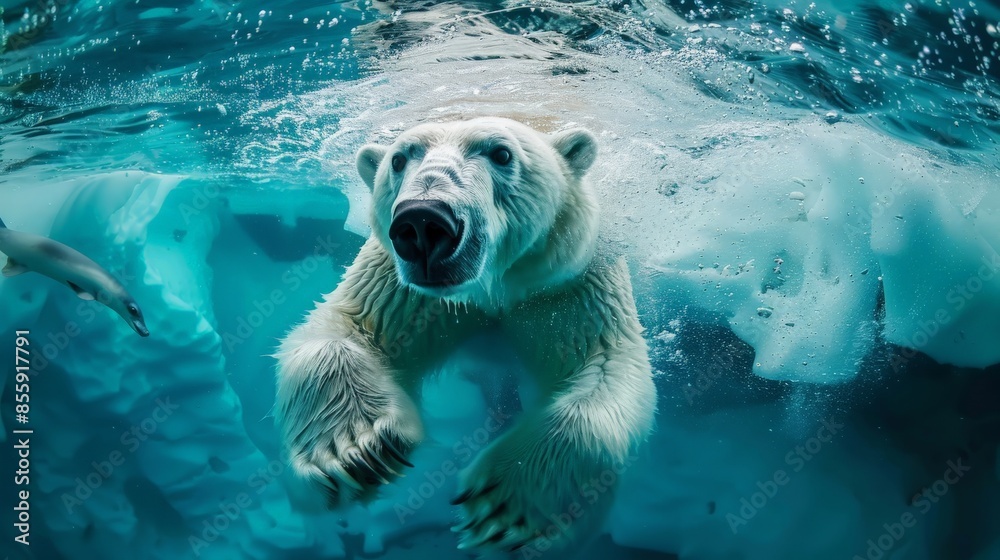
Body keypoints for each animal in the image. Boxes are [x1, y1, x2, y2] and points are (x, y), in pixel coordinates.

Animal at [274, 117, 656, 552]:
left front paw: (508, 507)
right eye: (399, 158)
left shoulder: (567, 283)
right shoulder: (405, 287)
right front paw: (356, 450)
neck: (490, 290)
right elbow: (345, 331)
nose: (423, 222)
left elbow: (605, 367)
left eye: (501, 153)